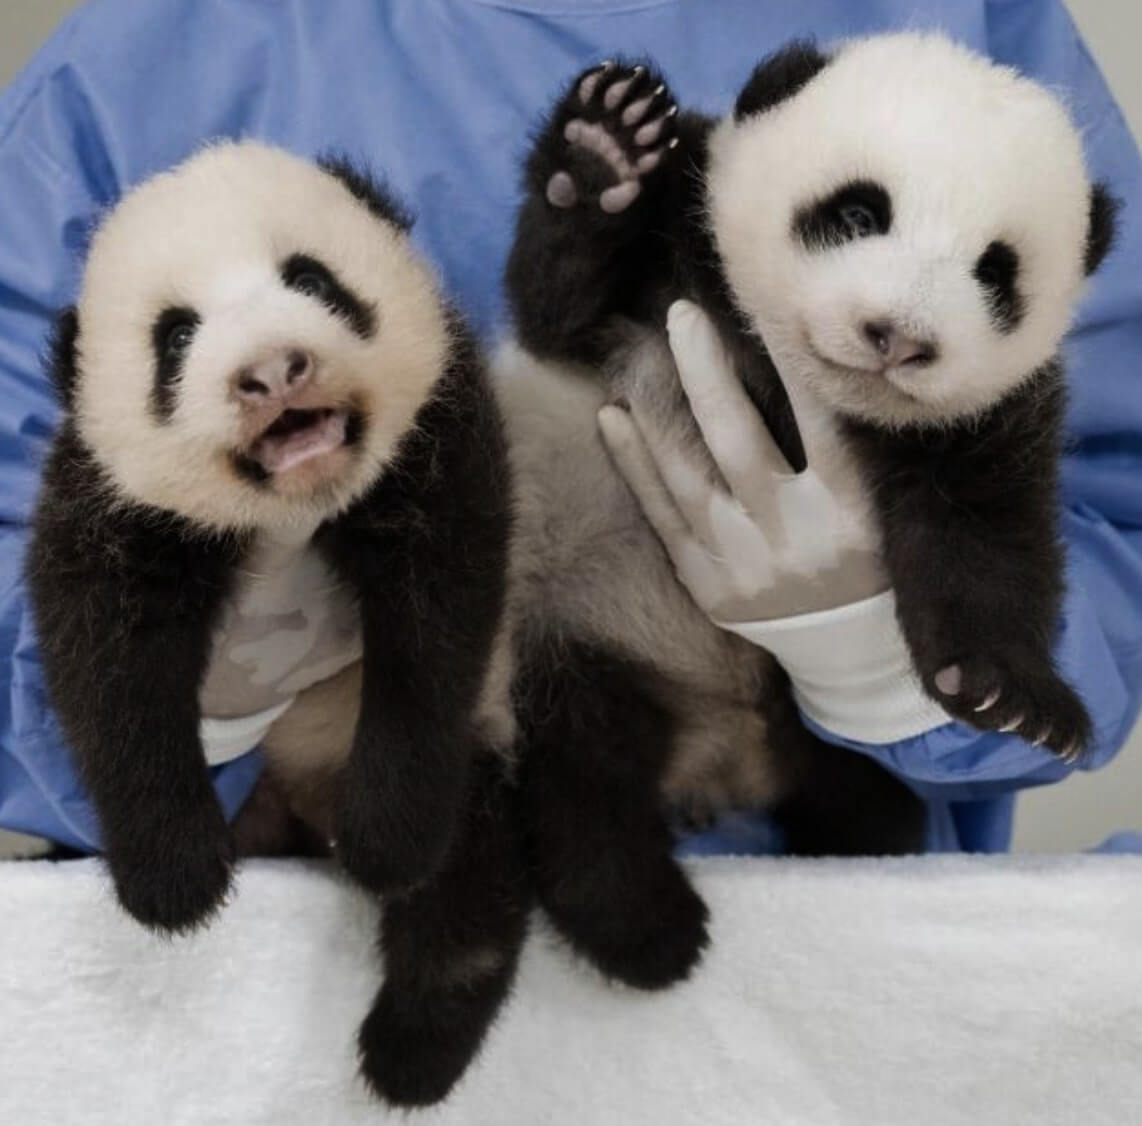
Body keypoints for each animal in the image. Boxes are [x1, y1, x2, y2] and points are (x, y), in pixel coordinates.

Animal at [27, 140, 526, 1108]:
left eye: (311, 279)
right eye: (176, 337)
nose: (272, 371)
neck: (300, 511)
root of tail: (299, 809)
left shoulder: (437, 442)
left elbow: (437, 627)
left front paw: (387, 834)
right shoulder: (112, 509)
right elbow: (107, 671)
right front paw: (172, 881)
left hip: (475, 755)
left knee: (466, 884)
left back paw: (410, 1047)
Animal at [500, 32, 1116, 989]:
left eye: (996, 272)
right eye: (860, 214)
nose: (899, 336)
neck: (800, 382)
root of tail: (723, 760)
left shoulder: (982, 418)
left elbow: (988, 534)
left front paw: (1011, 693)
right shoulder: (675, 259)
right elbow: (555, 310)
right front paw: (606, 148)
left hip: (802, 726)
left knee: (857, 790)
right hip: (581, 621)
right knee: (580, 770)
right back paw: (642, 925)